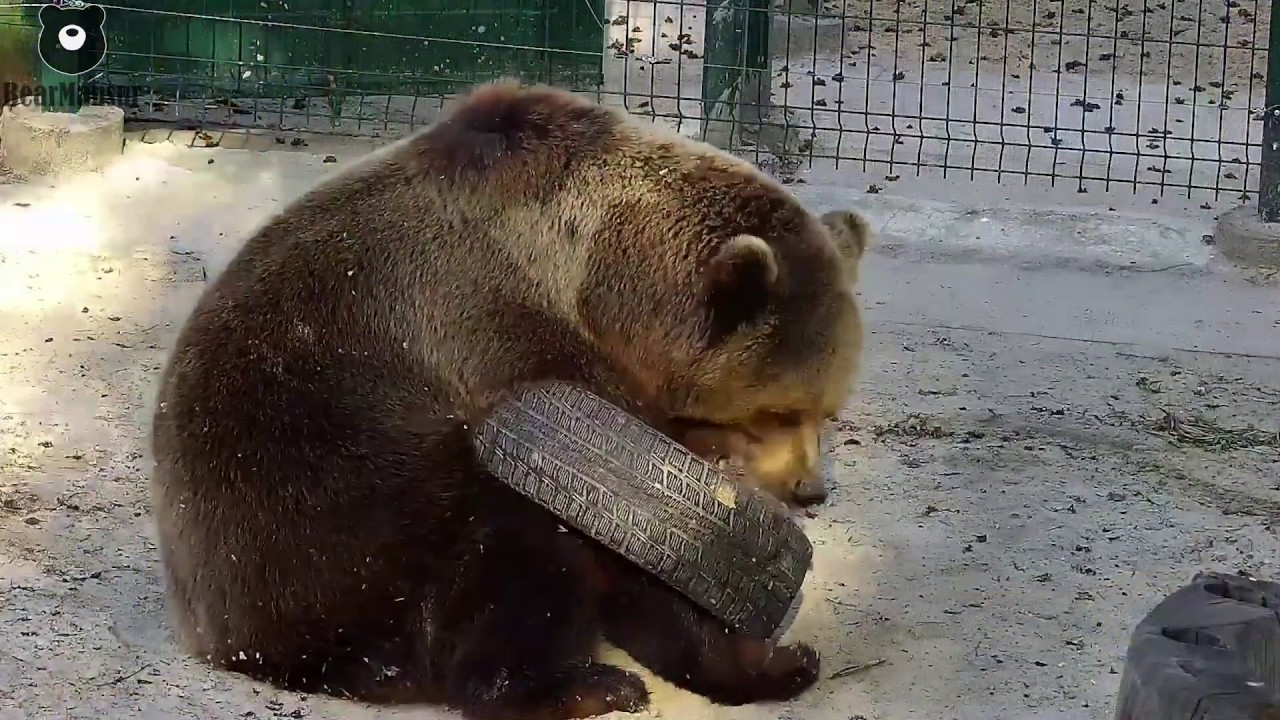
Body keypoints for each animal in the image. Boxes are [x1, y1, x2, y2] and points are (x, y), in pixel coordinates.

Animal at [149, 79, 873, 720]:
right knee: (501, 539)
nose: (810, 489)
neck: (599, 291)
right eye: (776, 411)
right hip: (328, 511)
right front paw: (771, 661)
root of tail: (219, 635)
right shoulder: (511, 348)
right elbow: (624, 544)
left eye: (826, 411)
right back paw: (583, 685)